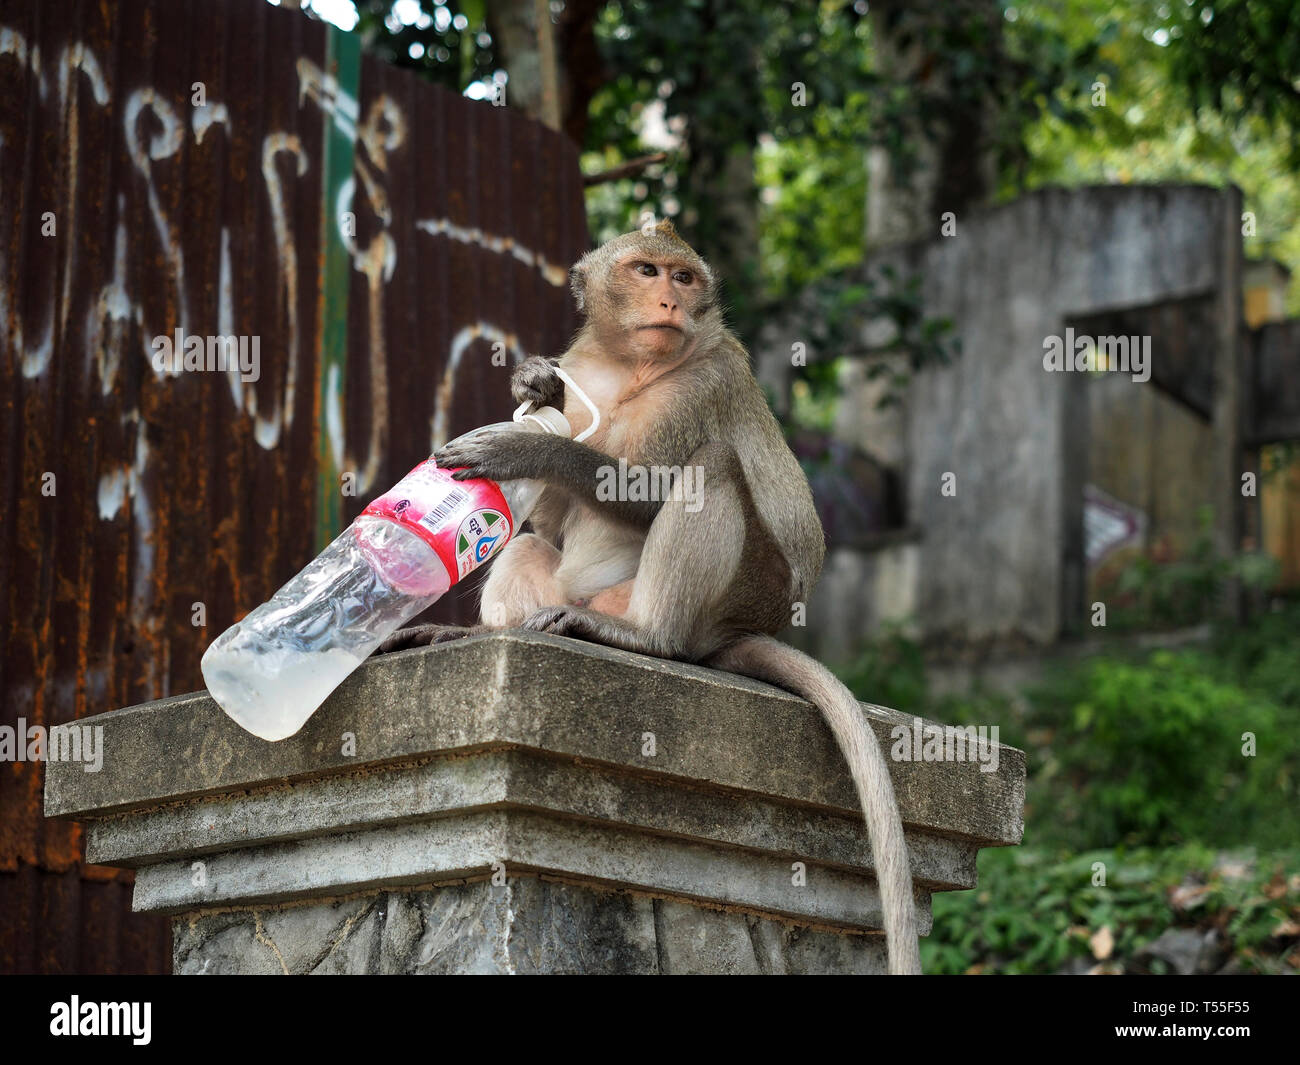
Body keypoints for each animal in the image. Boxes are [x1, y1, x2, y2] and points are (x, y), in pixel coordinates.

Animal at [376, 220, 922, 974]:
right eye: (645, 270)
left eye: (684, 277)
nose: (669, 301)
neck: (633, 366)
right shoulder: (587, 372)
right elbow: (544, 520)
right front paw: (536, 387)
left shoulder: (704, 384)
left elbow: (645, 491)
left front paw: (524, 448)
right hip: (575, 591)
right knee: (528, 547)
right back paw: (484, 636)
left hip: (745, 590)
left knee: (711, 468)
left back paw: (647, 638)